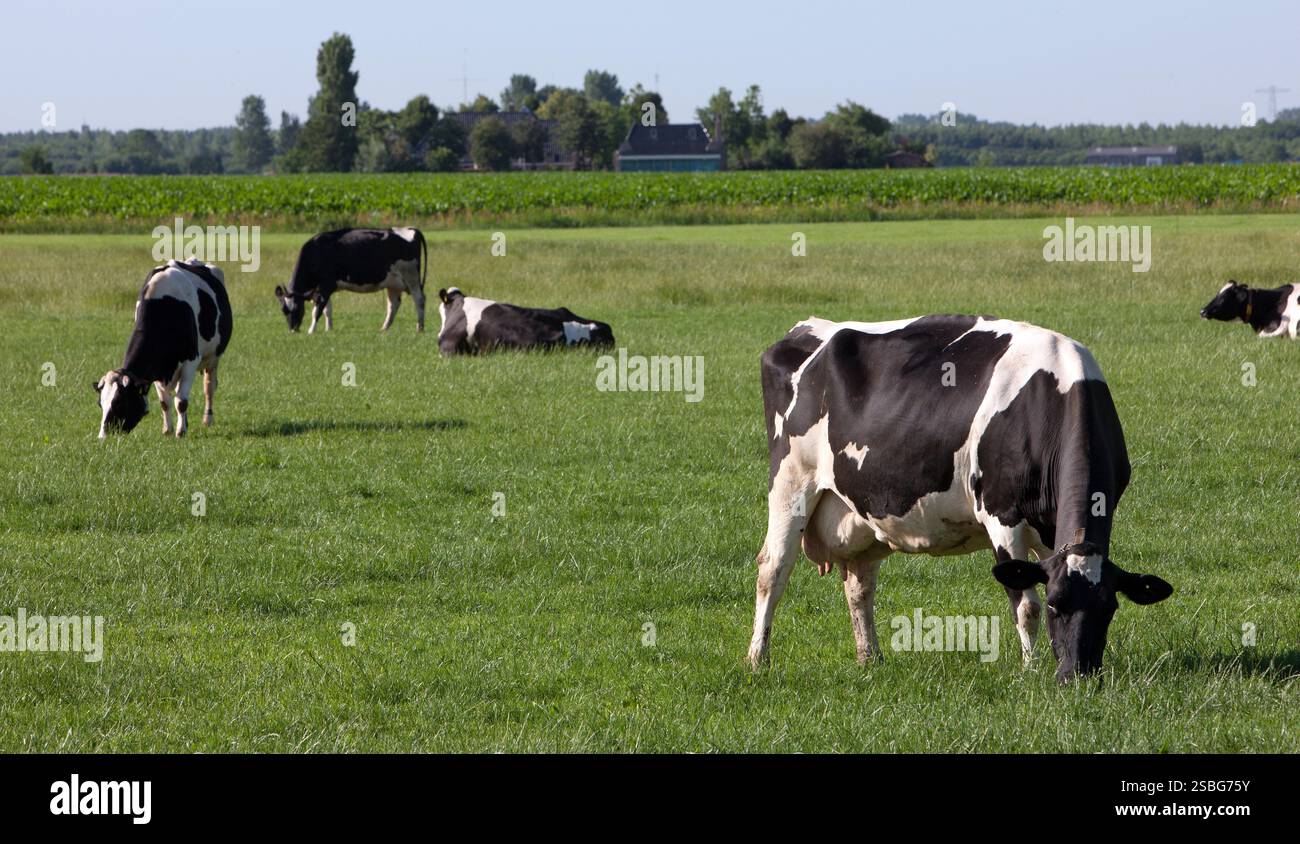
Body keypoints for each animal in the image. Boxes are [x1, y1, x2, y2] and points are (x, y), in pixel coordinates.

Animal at [95, 259, 233, 438]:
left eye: (119, 402)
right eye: (100, 404)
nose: (102, 436)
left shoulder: (190, 361)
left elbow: (181, 401)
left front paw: (180, 432)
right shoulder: (155, 369)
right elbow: (165, 402)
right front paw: (168, 430)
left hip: (213, 357)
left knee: (209, 388)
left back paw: (207, 419)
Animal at [275, 227, 428, 333]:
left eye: (297, 308)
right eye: (283, 310)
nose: (292, 329)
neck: (316, 253)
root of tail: (410, 229)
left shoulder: (326, 286)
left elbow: (317, 310)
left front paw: (311, 330)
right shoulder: (321, 289)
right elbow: (327, 310)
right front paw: (328, 329)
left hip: (412, 278)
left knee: (419, 299)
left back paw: (420, 328)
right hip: (393, 283)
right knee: (393, 304)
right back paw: (384, 328)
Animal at [750, 315, 1173, 682]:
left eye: (1110, 608)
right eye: (1056, 603)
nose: (1077, 676)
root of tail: (811, 327)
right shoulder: (1002, 516)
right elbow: (1025, 606)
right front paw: (1030, 669)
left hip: (861, 512)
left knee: (859, 584)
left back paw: (870, 658)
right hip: (791, 484)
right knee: (773, 569)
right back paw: (758, 660)